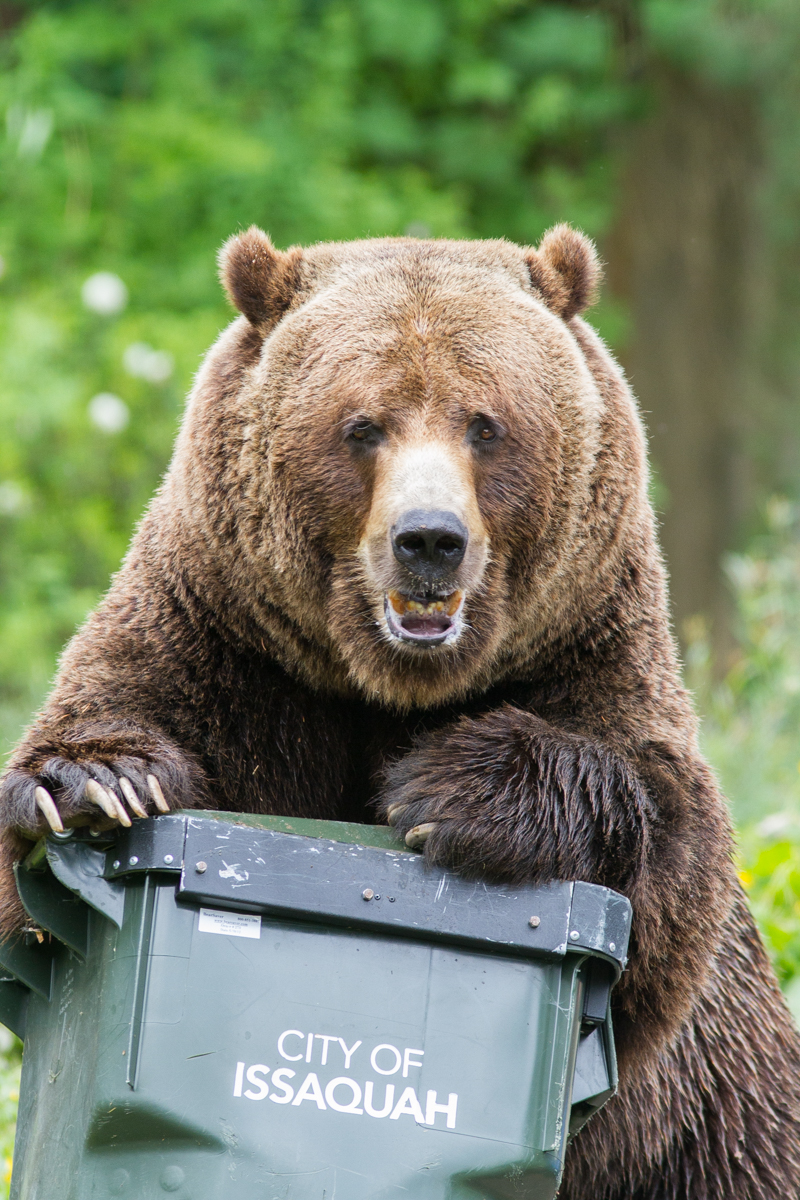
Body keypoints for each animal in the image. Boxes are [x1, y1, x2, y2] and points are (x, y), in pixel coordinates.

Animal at [1, 225, 799, 1199]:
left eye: (485, 424)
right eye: (363, 426)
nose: (429, 539)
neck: (387, 684)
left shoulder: (587, 651)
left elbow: (669, 865)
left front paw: (444, 793)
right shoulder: (227, 644)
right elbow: (53, 834)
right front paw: (98, 784)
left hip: (714, 1130)